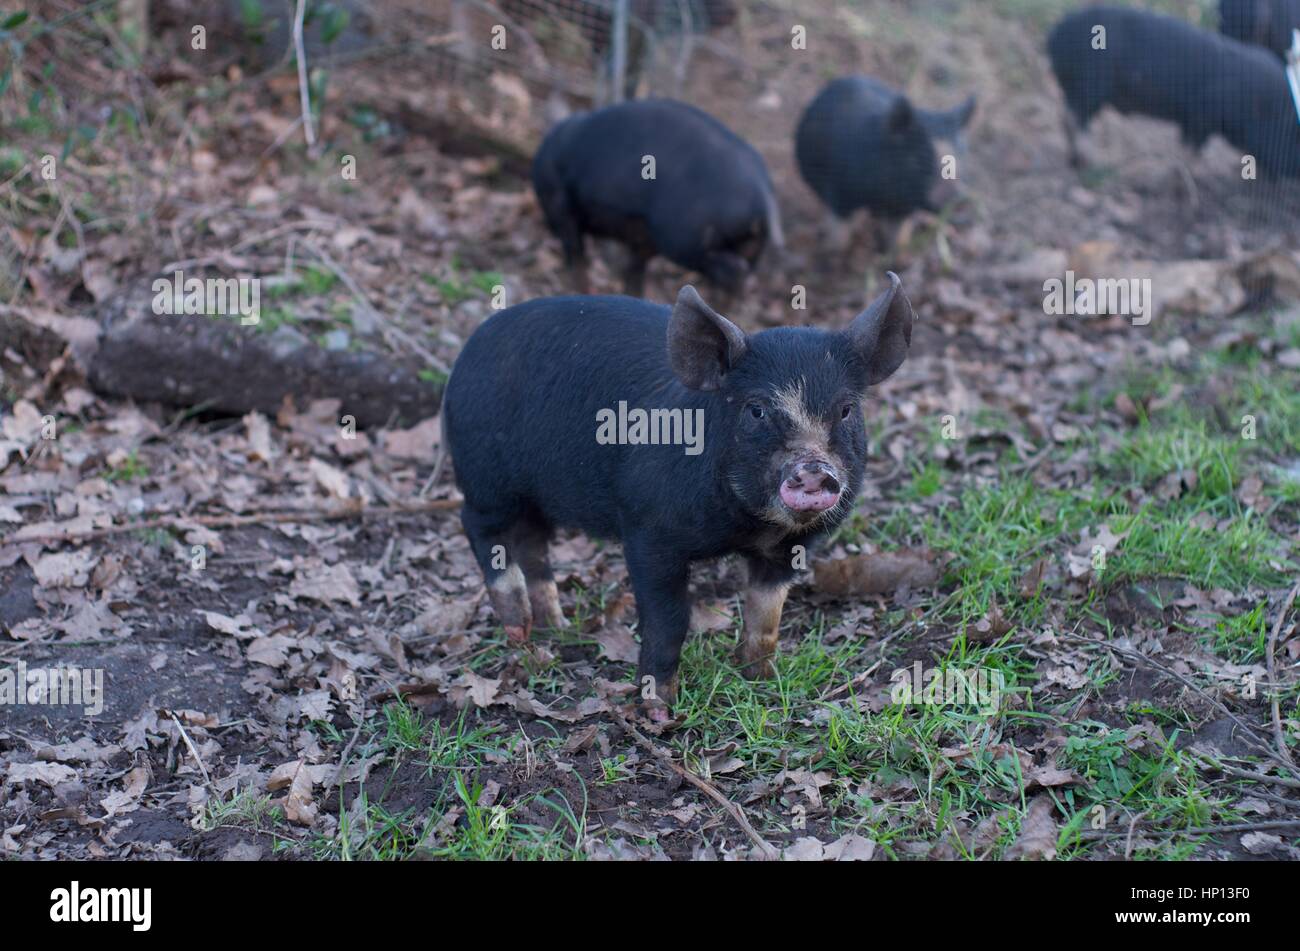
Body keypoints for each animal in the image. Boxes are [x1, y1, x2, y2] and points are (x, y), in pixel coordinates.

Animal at [442, 274, 915, 719]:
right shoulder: (648, 531)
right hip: (485, 477)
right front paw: (659, 707)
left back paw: (556, 627)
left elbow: (767, 611)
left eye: (846, 410)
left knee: (533, 541)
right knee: (480, 529)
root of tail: (469, 350)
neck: (750, 527)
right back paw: (520, 633)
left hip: (533, 496)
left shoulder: (788, 549)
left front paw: (760, 678)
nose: (814, 468)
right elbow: (669, 620)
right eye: (756, 410)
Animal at [531, 98, 783, 297]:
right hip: (746, 248)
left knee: (733, 273)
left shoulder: (560, 207)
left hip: (682, 238)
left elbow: (577, 258)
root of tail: (763, 193)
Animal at [794, 76, 975, 244]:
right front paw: (829, 250)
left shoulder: (902, 209)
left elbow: (899, 237)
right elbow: (840, 233)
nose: (961, 201)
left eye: (960, 156)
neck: (883, 195)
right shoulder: (840, 188)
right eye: (920, 159)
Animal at [1048, 7, 1300, 179]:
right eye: (1292, 135)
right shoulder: (1203, 115)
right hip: (1090, 82)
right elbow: (1193, 148)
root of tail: (1054, 36)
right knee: (1075, 117)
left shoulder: (1191, 119)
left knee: (1067, 115)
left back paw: (1075, 161)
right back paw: (1090, 163)